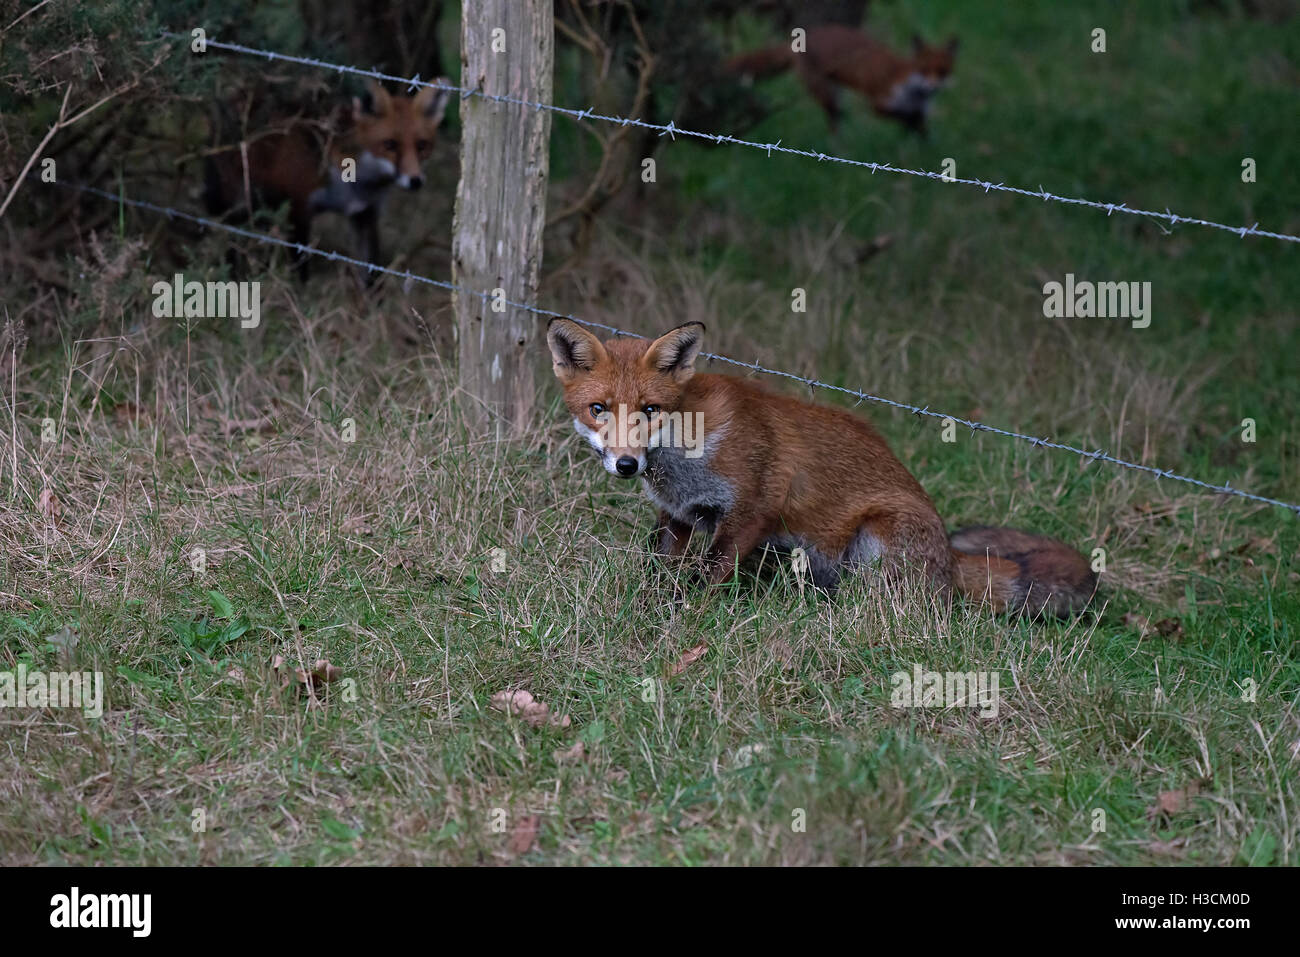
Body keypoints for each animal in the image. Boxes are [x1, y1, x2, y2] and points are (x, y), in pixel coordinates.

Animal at [202, 79, 450, 281]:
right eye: (389, 145)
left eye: (422, 146)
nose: (415, 181)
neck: (354, 182)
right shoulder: (299, 210)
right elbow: (301, 270)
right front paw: (301, 300)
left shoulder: (366, 214)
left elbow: (370, 273)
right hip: (243, 202)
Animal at [547, 319, 1097, 617]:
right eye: (598, 409)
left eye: (650, 410)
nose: (626, 464)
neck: (688, 452)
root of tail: (949, 558)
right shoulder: (678, 515)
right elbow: (660, 571)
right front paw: (649, 606)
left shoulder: (752, 509)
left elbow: (707, 577)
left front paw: (686, 616)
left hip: (879, 537)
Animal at [726, 25, 958, 135]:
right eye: (924, 69)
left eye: (943, 71)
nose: (933, 87)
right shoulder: (878, 104)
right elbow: (904, 117)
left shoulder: (921, 110)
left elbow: (922, 131)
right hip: (826, 94)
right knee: (834, 123)